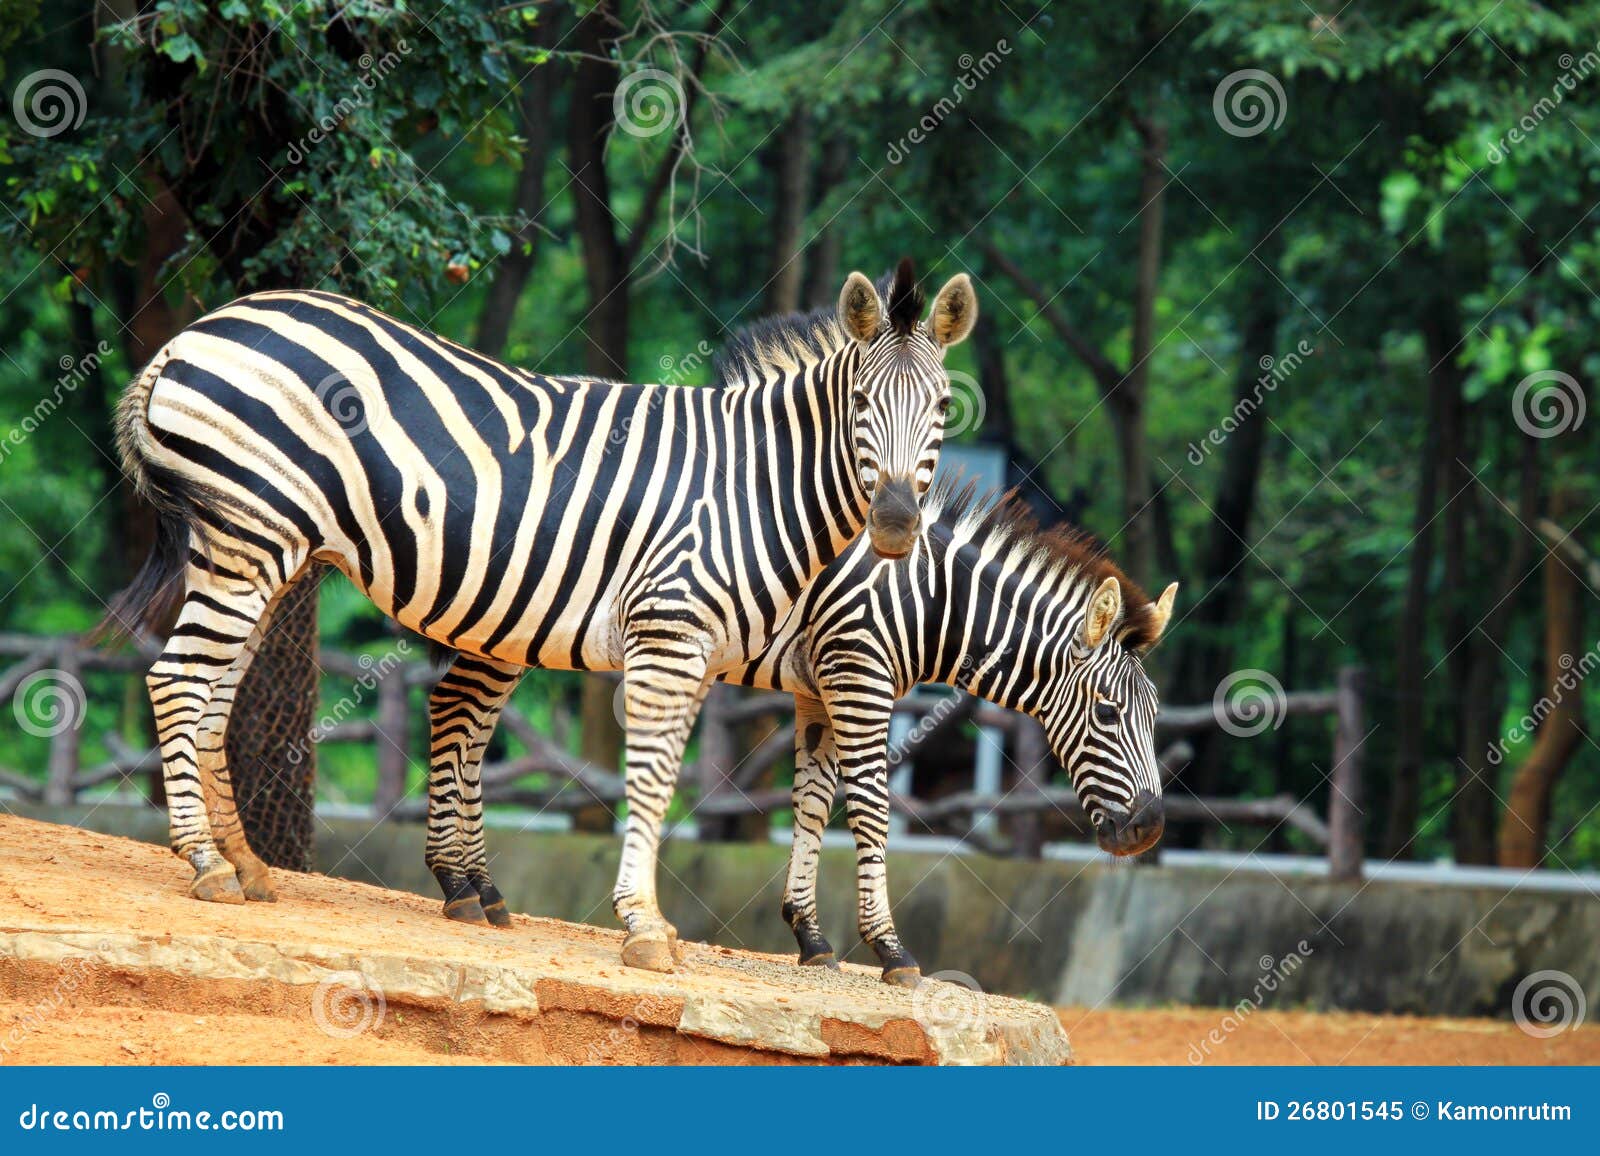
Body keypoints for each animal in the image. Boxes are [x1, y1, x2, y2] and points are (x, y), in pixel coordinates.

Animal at [104, 259, 979, 973]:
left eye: (943, 406)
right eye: (860, 402)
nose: (895, 524)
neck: (753, 486)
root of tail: (194, 335)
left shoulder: (706, 653)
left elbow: (692, 780)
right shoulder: (672, 631)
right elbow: (654, 779)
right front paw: (645, 929)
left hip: (253, 545)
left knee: (214, 691)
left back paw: (245, 865)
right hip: (249, 530)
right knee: (177, 680)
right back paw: (206, 864)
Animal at [720, 480, 1177, 984]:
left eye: (1155, 714)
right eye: (1108, 713)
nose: (1151, 829)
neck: (926, 599)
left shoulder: (815, 688)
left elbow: (813, 803)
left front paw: (811, 937)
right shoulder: (858, 674)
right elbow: (871, 809)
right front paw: (890, 948)